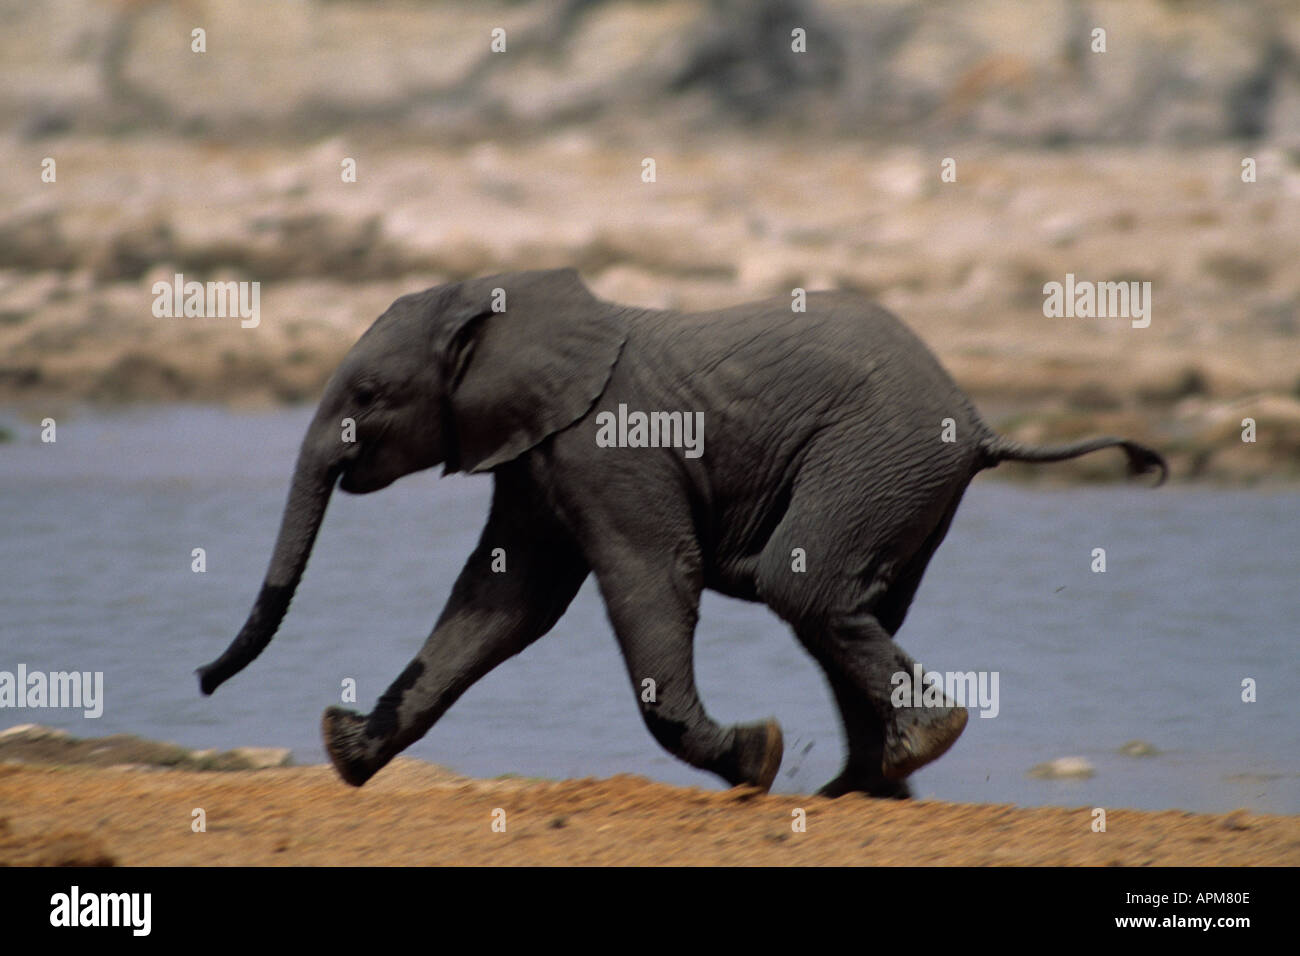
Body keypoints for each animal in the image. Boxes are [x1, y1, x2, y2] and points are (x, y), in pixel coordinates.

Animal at [197, 268, 1167, 798]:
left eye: (367, 397)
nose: (202, 679)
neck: (503, 307)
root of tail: (975, 416)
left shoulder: (606, 448)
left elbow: (648, 577)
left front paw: (756, 757)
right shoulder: (536, 452)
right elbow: (501, 604)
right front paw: (347, 756)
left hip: (879, 452)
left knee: (802, 586)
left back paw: (908, 752)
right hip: (901, 476)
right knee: (845, 606)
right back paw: (867, 786)